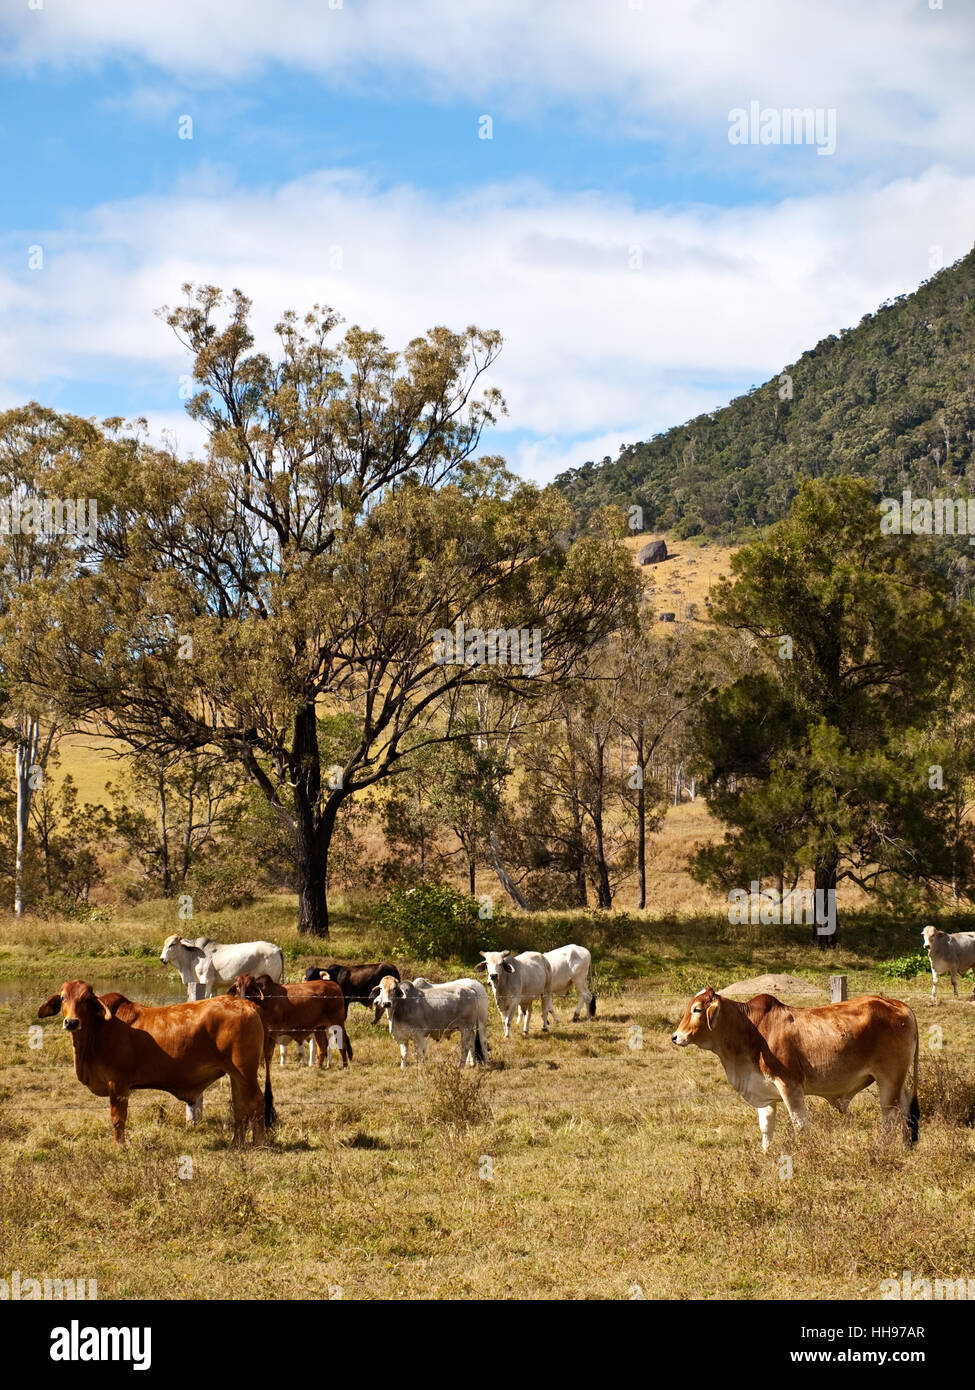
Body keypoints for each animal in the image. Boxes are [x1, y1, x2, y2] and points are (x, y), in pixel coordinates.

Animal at [37, 980, 266, 1146]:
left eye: (85, 999)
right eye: (63, 998)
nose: (71, 1022)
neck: (98, 1030)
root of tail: (247, 1004)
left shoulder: (118, 1084)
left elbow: (118, 1119)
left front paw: (119, 1147)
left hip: (245, 1072)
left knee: (256, 1102)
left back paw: (259, 1143)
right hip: (236, 1075)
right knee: (240, 1107)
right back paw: (236, 1144)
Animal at [228, 974, 350, 1121]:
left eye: (252, 986)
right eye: (237, 985)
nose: (243, 998)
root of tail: (334, 984)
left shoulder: (270, 1035)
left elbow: (264, 1056)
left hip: (337, 1023)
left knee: (342, 1045)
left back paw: (344, 1066)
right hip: (319, 1028)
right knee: (322, 1046)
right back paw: (318, 1067)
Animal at [671, 987, 920, 1151]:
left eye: (696, 1009)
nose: (675, 1037)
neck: (750, 1030)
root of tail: (898, 1004)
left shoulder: (790, 1085)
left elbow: (800, 1124)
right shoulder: (764, 1093)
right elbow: (766, 1127)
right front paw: (765, 1154)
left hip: (888, 1080)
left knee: (890, 1116)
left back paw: (884, 1148)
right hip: (898, 1081)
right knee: (906, 1109)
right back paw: (907, 1147)